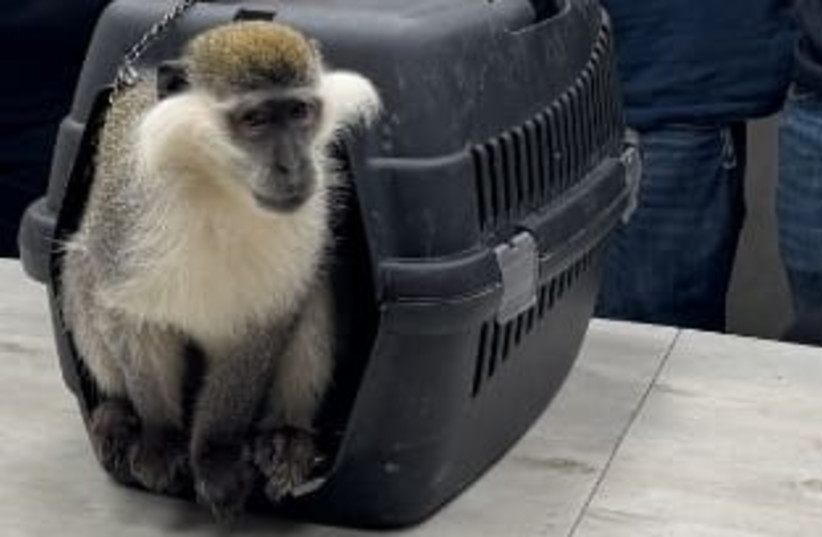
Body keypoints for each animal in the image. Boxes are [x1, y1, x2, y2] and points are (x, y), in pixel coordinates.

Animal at [59, 20, 380, 519]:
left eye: (299, 112)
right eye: (255, 121)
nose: (293, 166)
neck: (215, 185)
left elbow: (262, 326)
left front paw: (215, 455)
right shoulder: (123, 227)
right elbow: (125, 314)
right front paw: (160, 438)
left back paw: (287, 435)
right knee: (79, 268)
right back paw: (115, 410)